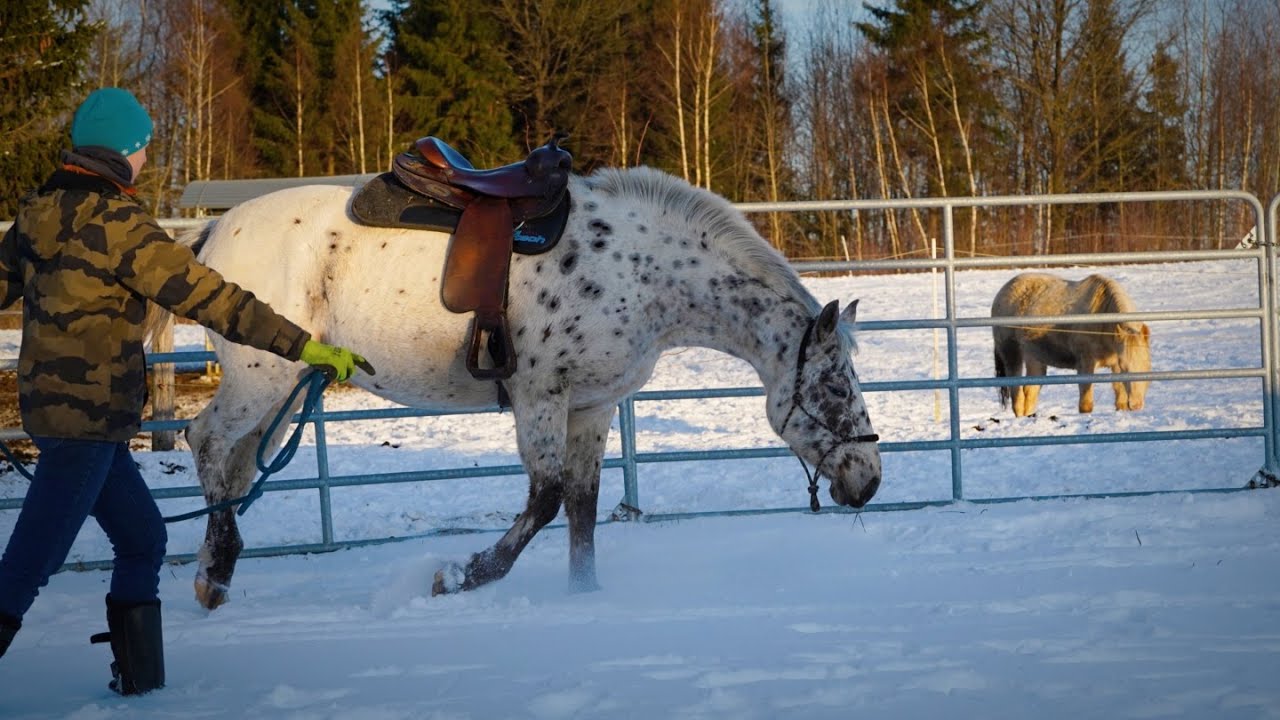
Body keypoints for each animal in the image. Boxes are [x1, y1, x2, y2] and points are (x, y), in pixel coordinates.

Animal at [166, 166, 882, 610]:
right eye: (836, 389)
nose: (869, 482)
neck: (643, 271)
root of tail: (212, 231)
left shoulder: (591, 408)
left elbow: (583, 506)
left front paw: (584, 593)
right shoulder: (541, 397)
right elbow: (545, 499)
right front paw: (459, 577)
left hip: (280, 391)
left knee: (234, 466)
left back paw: (212, 576)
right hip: (260, 380)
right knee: (206, 441)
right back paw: (217, 568)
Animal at [991, 271, 1151, 417]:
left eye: (1147, 365)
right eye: (1125, 367)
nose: (1136, 405)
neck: (1101, 319)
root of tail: (1003, 291)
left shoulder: (1114, 365)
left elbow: (1120, 400)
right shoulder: (1085, 364)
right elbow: (1086, 405)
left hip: (1034, 357)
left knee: (1030, 393)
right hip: (1011, 354)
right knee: (1017, 395)